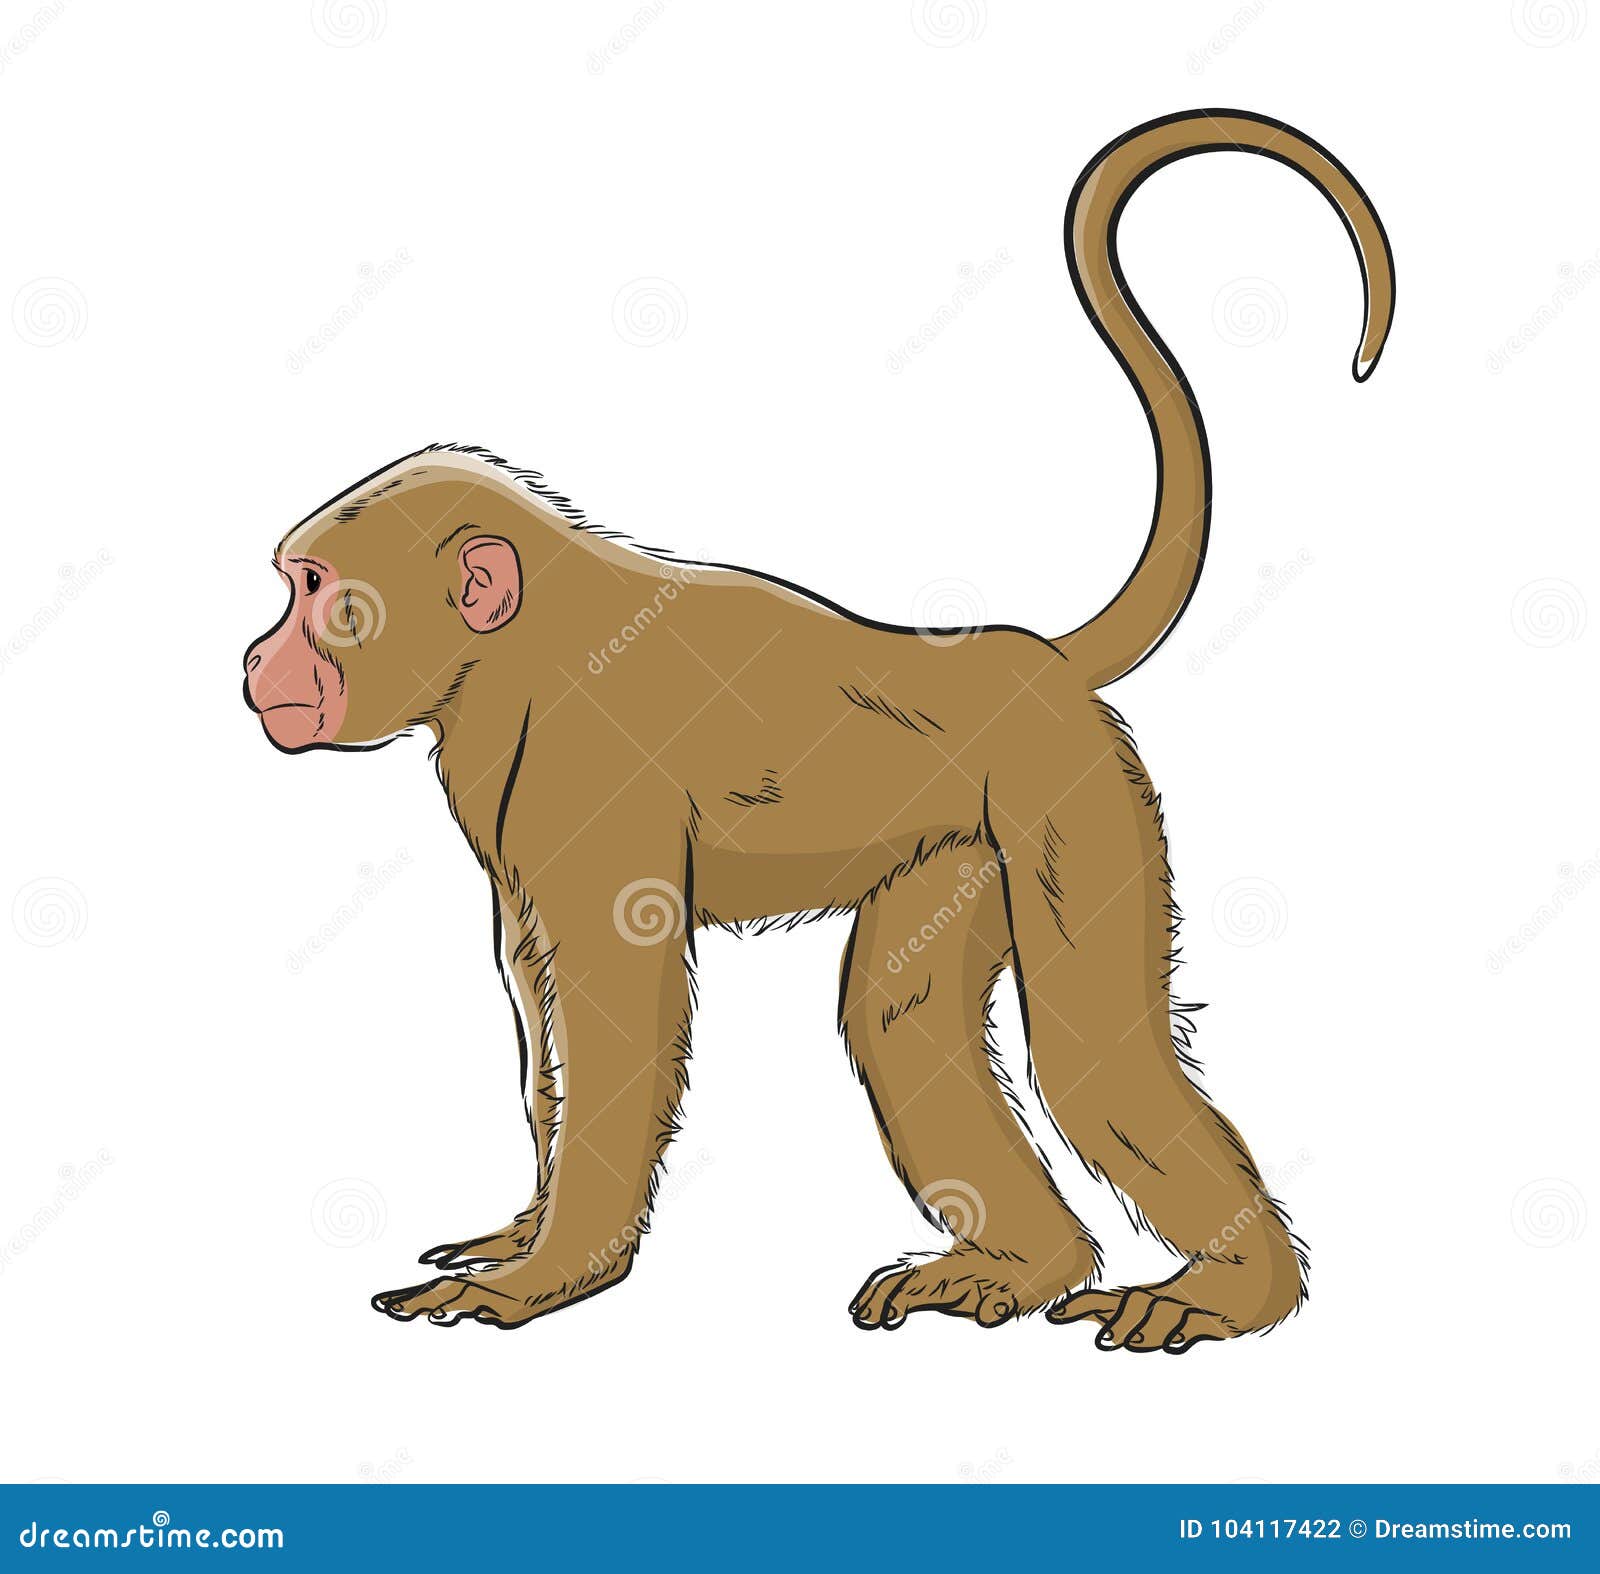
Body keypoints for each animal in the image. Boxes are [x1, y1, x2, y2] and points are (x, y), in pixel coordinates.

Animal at [243, 110, 1393, 1350]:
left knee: (1089, 1052)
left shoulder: (583, 765)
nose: (259, 659)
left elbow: (614, 1002)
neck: (516, 652)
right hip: (972, 834)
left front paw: (549, 1272)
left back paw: (1232, 1288)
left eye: (318, 593)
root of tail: (1012, 656)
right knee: (902, 1015)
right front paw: (523, 1230)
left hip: (1066, 783)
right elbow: (536, 991)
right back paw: (1021, 1264)